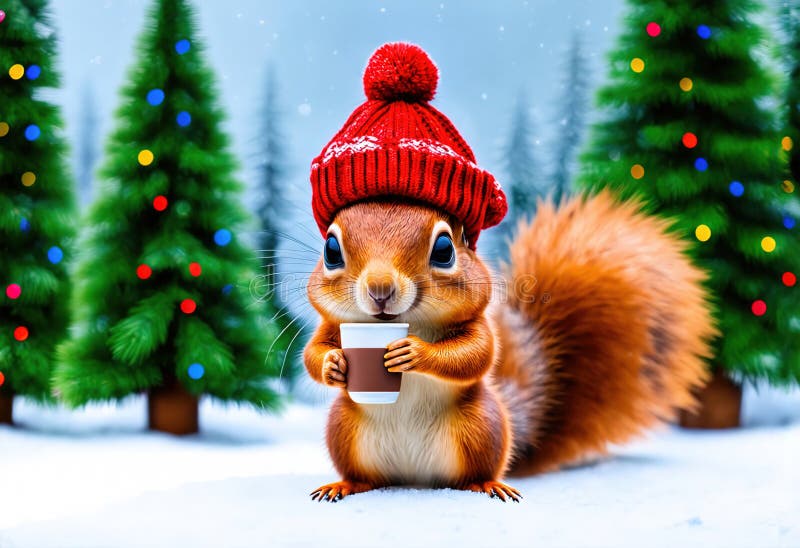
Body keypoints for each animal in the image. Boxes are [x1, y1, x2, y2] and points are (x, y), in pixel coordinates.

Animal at [302, 43, 715, 503]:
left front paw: (414, 352)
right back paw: (344, 484)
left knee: (474, 471)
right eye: (331, 250)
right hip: (344, 429)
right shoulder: (332, 325)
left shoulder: (477, 327)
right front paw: (335, 363)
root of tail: (415, 480)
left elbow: (474, 354)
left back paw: (487, 484)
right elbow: (313, 352)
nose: (379, 290)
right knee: (366, 476)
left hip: (480, 426)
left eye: (444, 249)